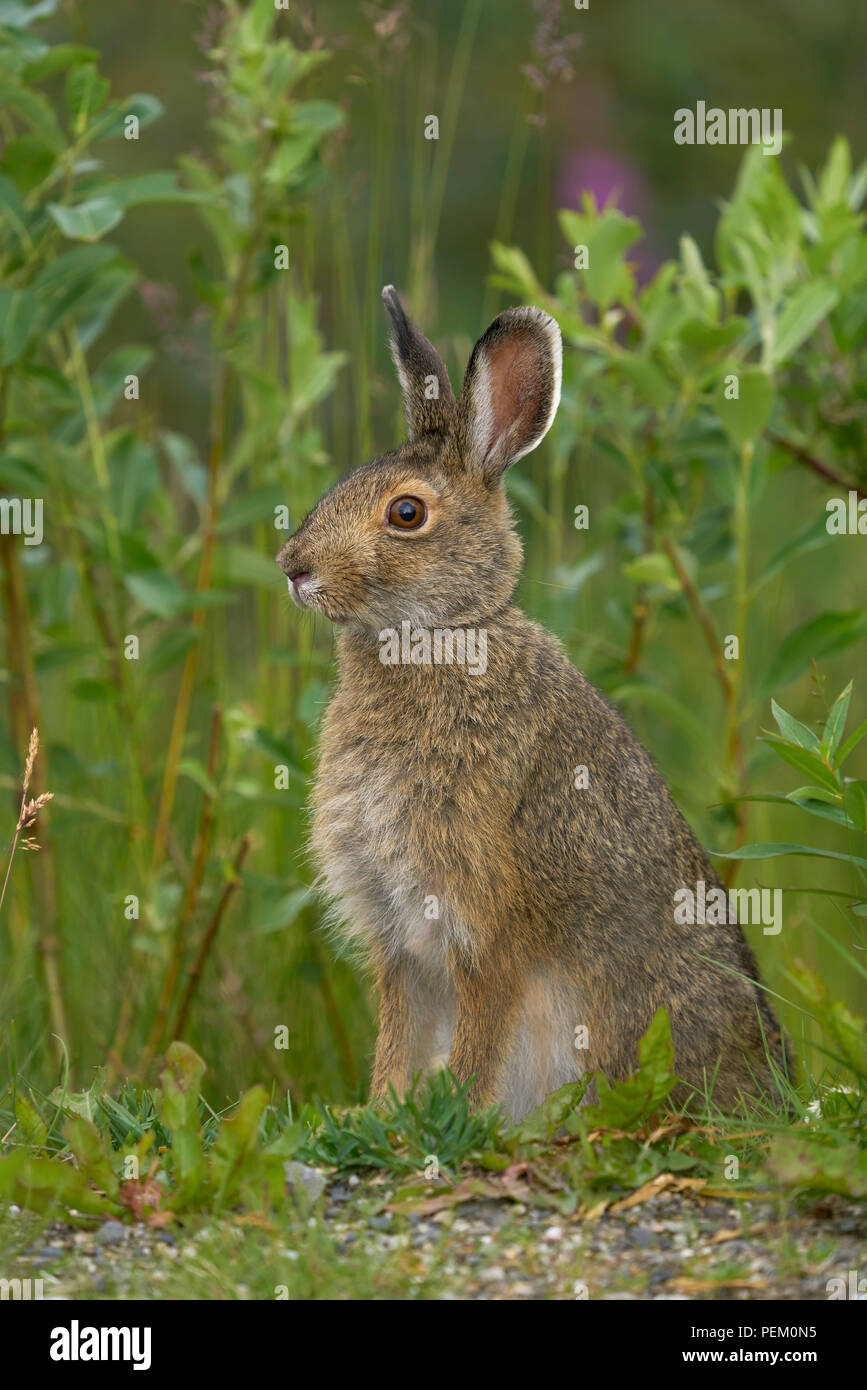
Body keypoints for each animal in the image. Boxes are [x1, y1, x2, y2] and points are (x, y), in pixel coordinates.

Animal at [276, 284, 787, 1121]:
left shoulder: (484, 924)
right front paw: (382, 1112)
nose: (293, 568)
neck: (439, 637)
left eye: (406, 514)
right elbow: (397, 1037)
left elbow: (479, 1030)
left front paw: (452, 1112)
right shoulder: (400, 941)